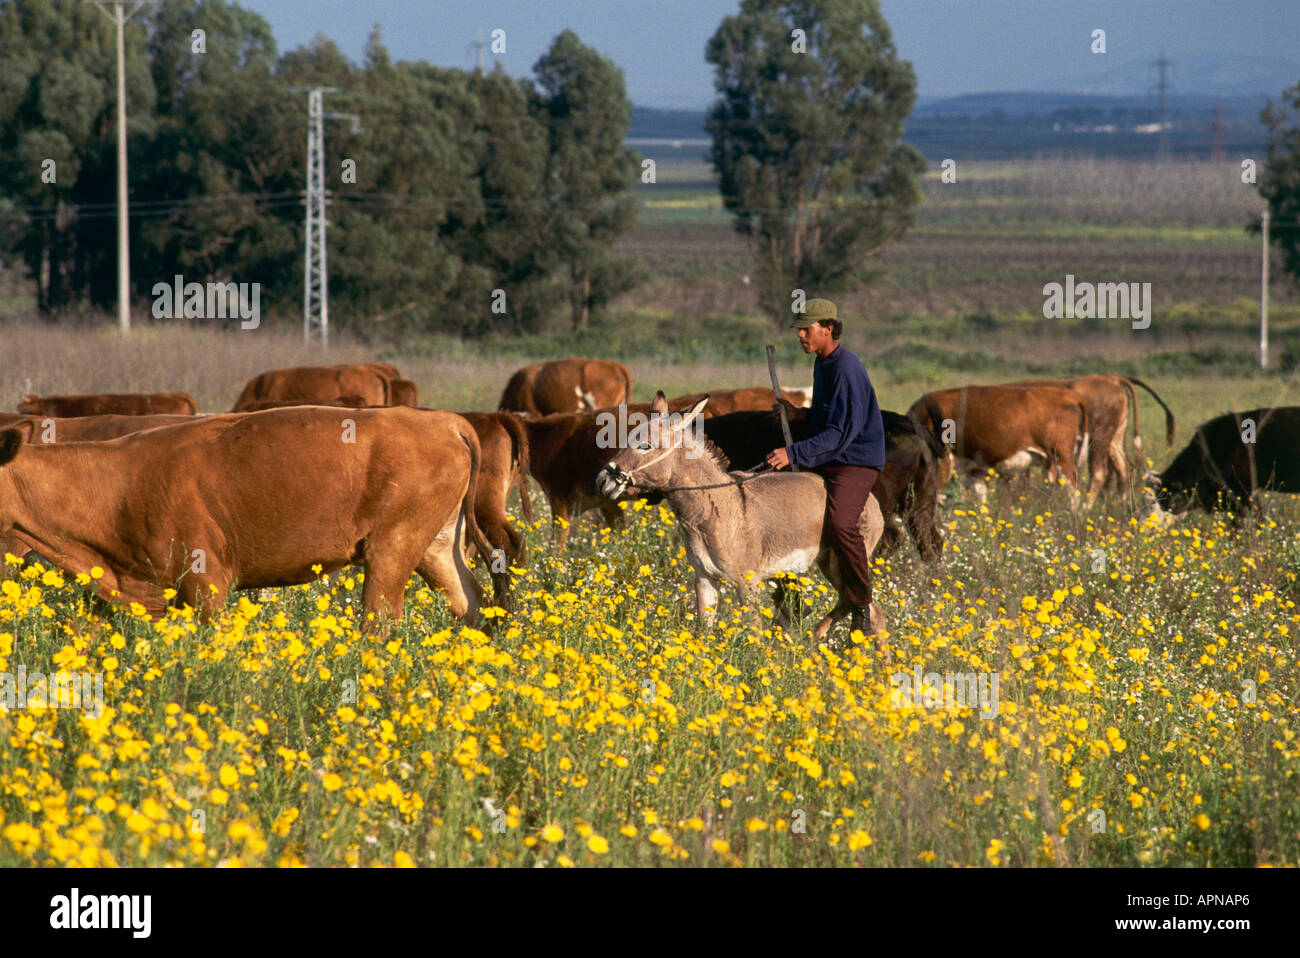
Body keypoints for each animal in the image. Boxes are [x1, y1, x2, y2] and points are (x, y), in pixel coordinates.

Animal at [0, 407, 503, 626]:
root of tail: (442, 419)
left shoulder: (207, 584)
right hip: (436, 546)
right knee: (471, 603)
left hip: (392, 547)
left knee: (380, 619)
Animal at [908, 384, 1090, 507]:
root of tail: (1071, 395)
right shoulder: (974, 467)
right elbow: (981, 499)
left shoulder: (942, 461)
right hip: (1050, 462)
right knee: (1051, 488)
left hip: (1061, 457)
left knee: (1073, 491)